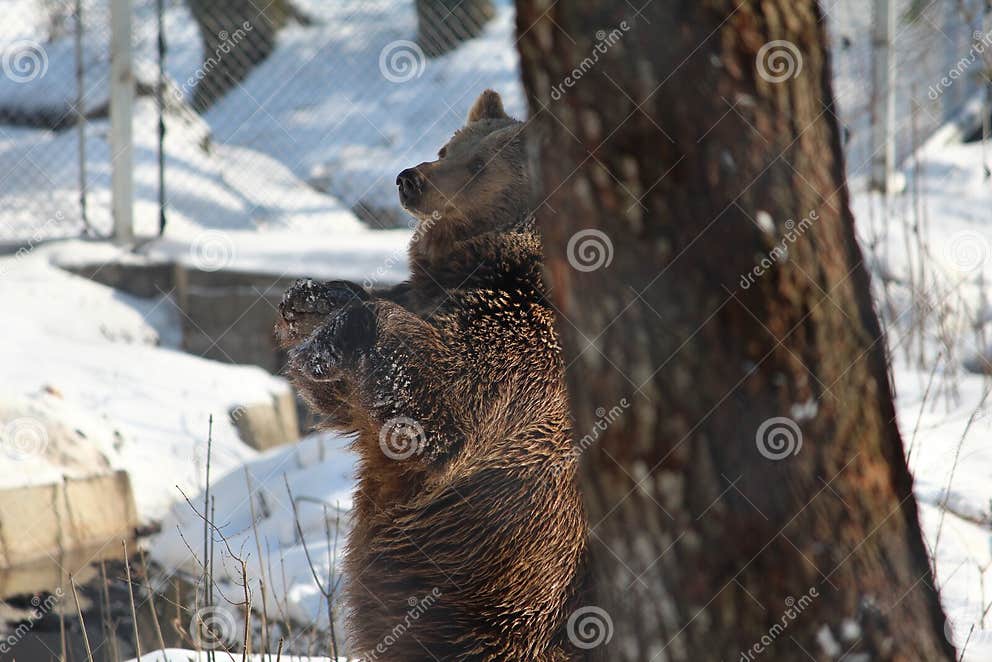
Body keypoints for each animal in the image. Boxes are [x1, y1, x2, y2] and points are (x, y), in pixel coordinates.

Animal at [276, 90, 588, 661]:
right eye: (447, 147)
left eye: (479, 164)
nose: (410, 177)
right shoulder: (429, 298)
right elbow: (353, 400)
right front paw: (312, 300)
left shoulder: (522, 349)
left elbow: (442, 396)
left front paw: (338, 329)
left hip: (502, 601)